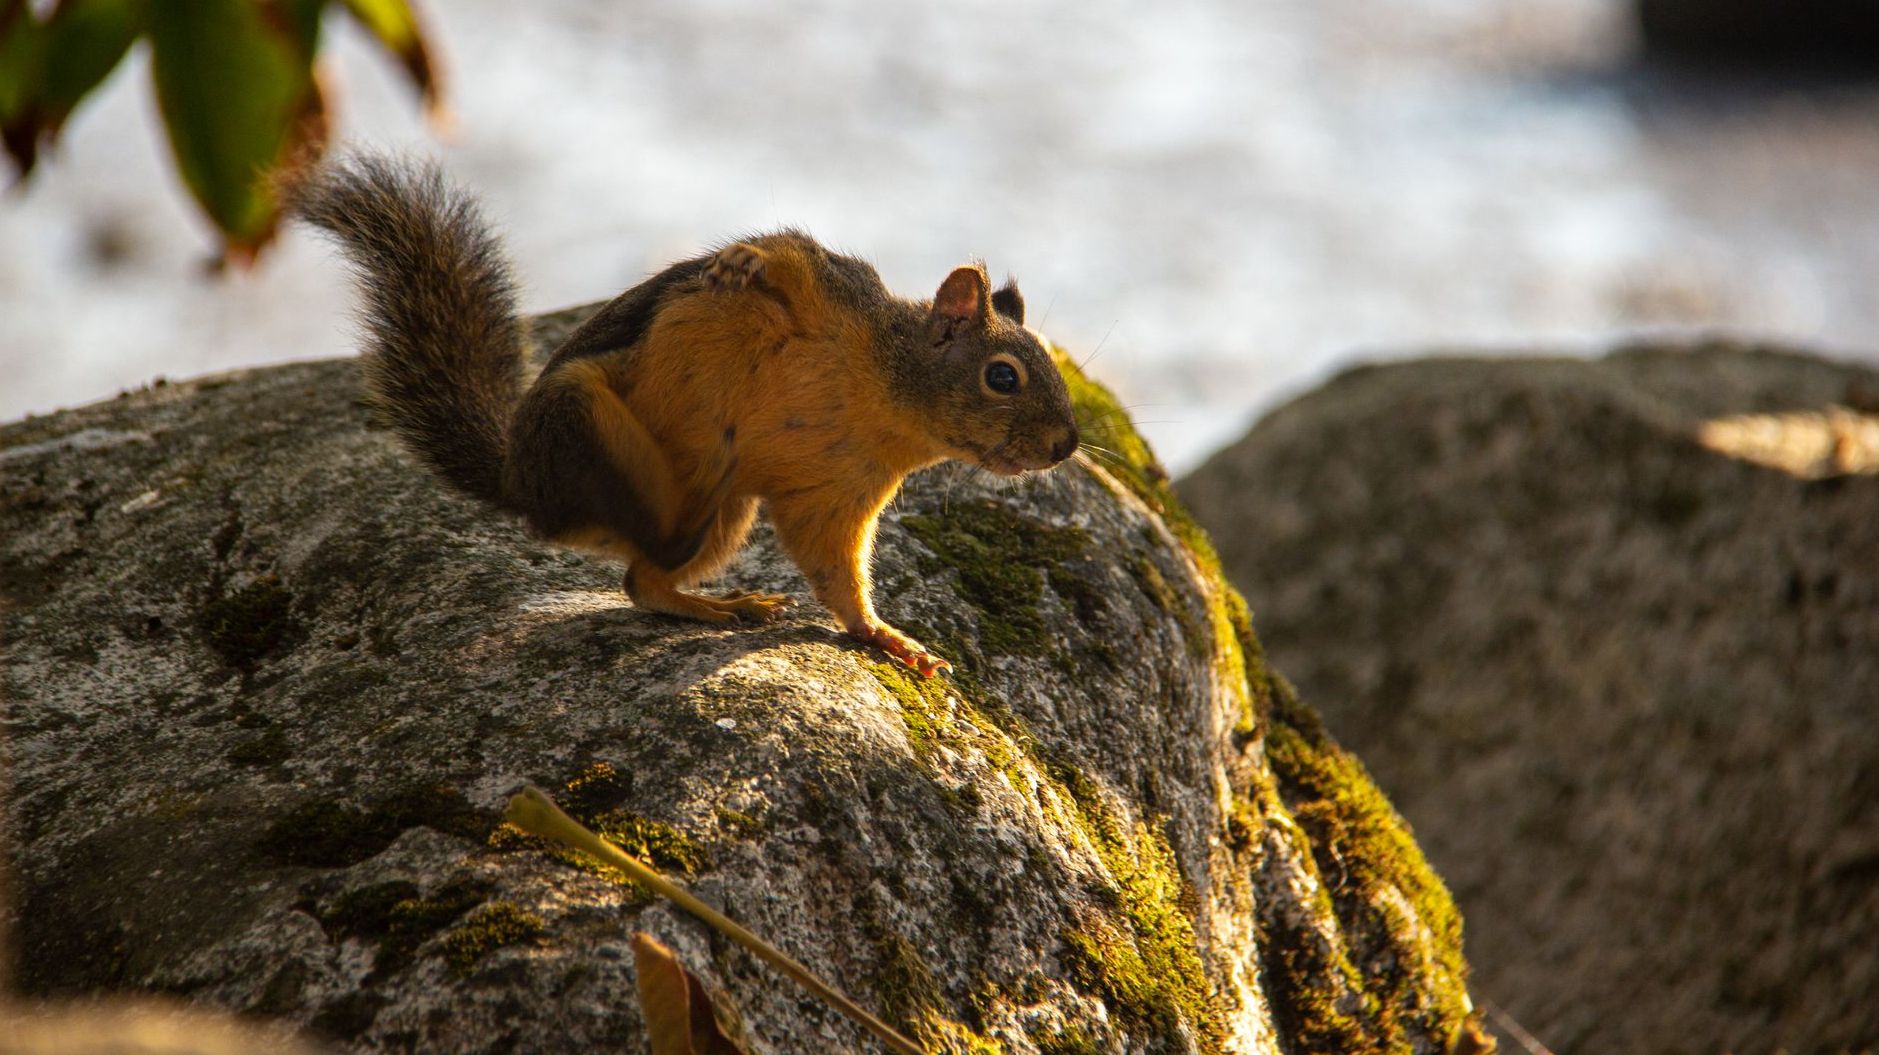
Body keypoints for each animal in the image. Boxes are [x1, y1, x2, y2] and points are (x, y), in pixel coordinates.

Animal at [287, 154, 1081, 677]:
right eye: (1002, 376)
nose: (1066, 445)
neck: (883, 404)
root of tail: (524, 485)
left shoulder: (839, 493)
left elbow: (837, 573)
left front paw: (886, 637)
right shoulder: (834, 292)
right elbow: (786, 254)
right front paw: (741, 260)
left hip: (723, 511)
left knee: (647, 576)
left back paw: (727, 602)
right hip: (587, 424)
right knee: (641, 572)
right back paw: (718, 605)